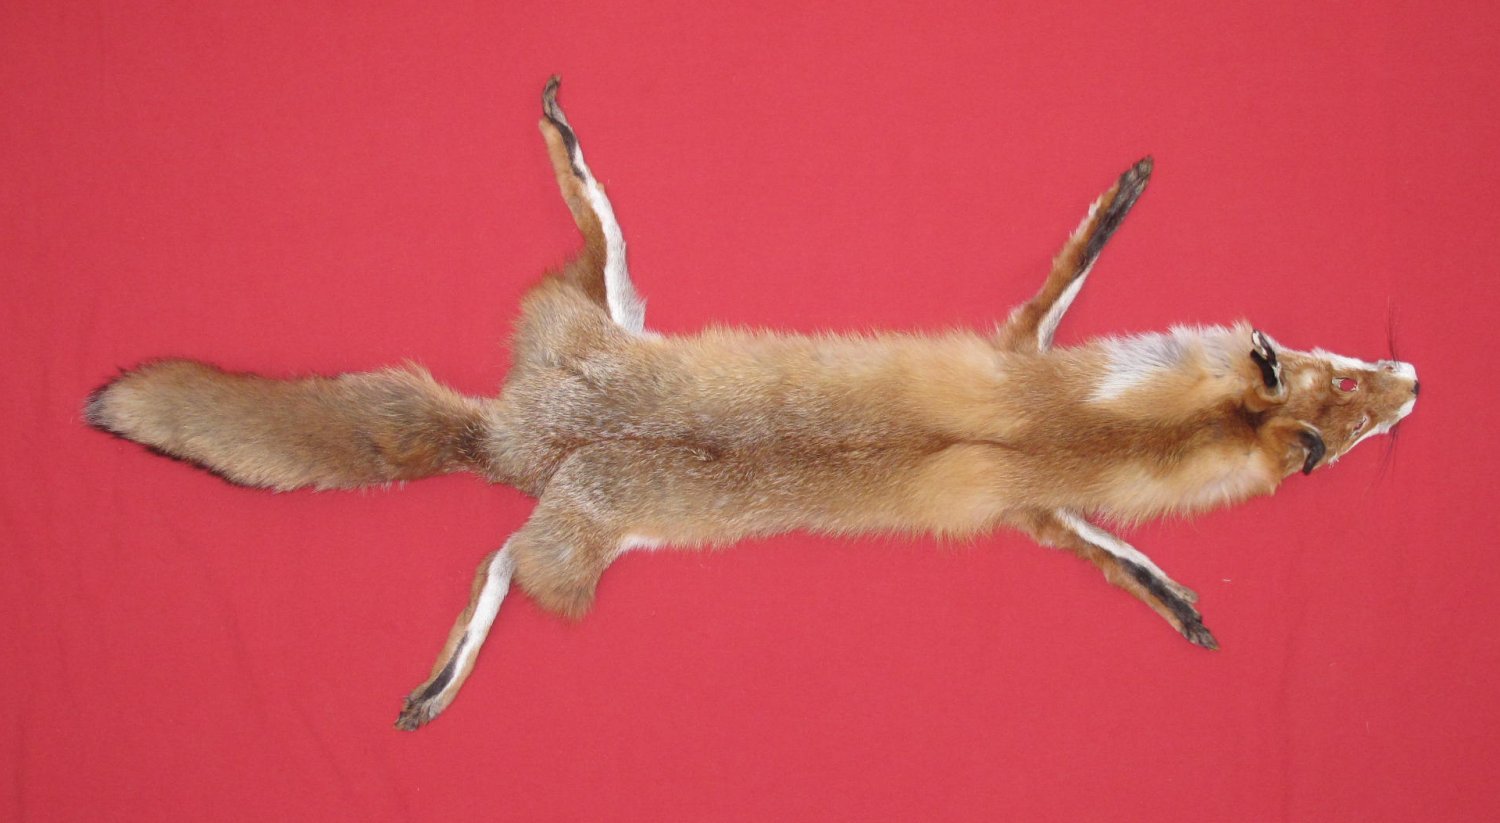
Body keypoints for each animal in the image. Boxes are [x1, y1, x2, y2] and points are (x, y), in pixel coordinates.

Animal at [85, 77, 1420, 730]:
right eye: (1343, 411)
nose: (1414, 381)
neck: (1070, 423)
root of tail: (512, 437)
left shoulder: (1036, 418)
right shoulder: (1029, 386)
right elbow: (1078, 291)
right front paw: (1124, 197)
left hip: (600, 334)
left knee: (582, 274)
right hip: (581, 538)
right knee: (504, 563)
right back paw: (444, 678)